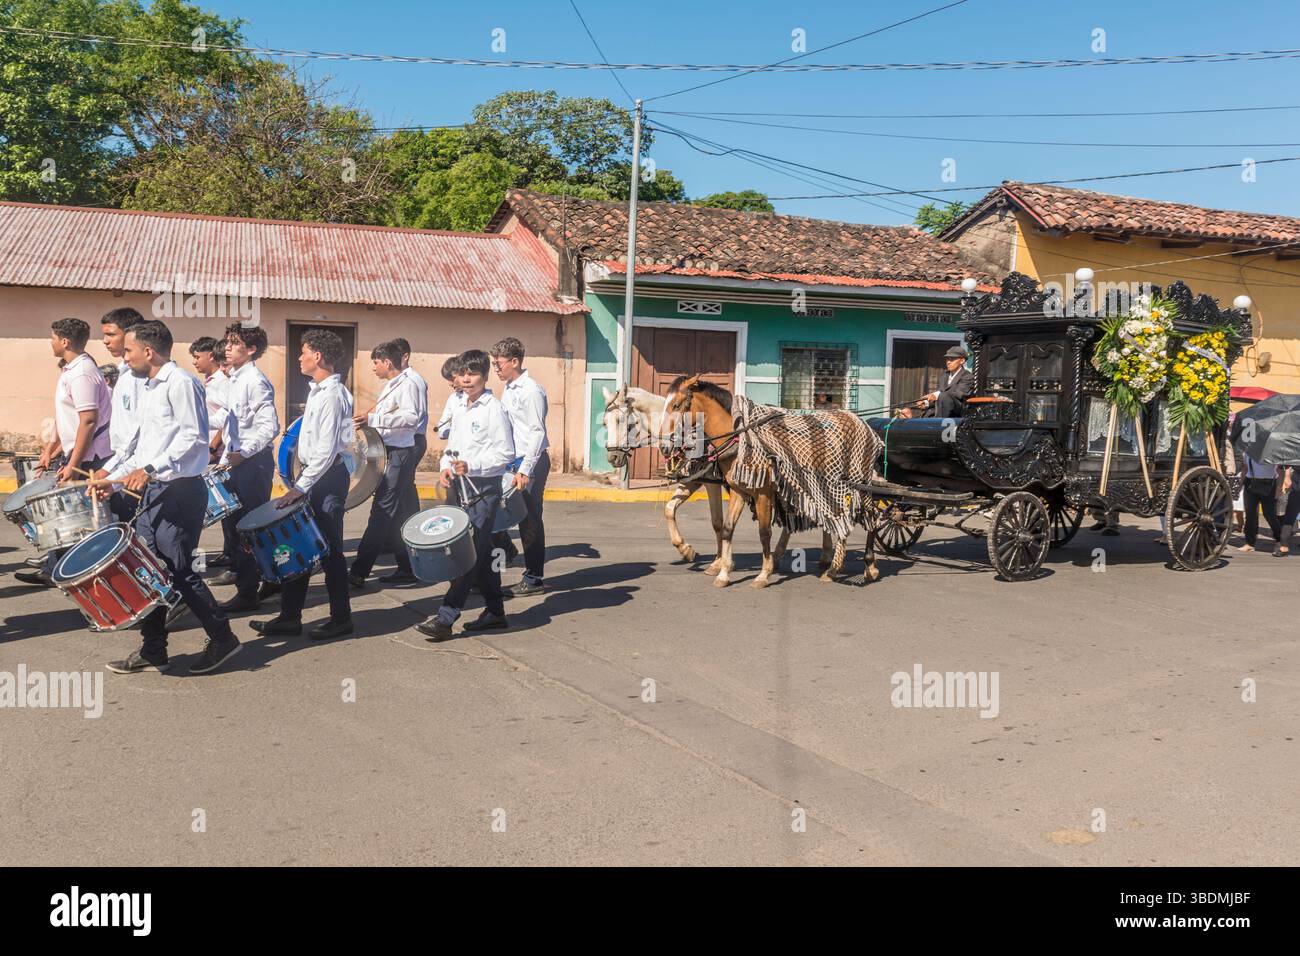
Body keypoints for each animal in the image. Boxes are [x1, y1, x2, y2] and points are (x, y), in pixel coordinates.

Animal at [600, 384, 727, 573]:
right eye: (605, 422)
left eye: (623, 422)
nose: (612, 457)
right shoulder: (692, 480)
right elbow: (669, 509)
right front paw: (685, 549)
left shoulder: (712, 483)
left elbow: (717, 522)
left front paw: (718, 562)